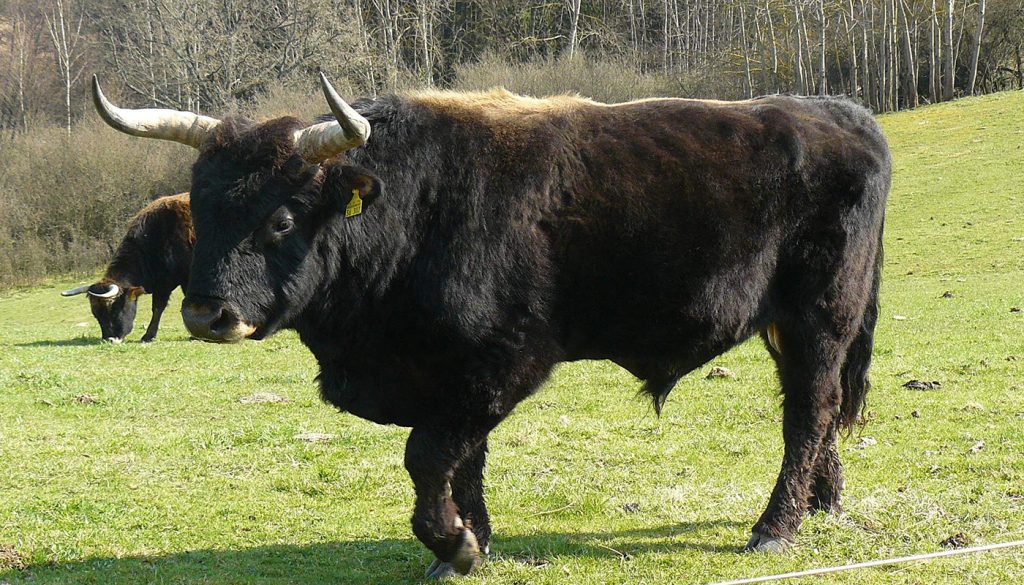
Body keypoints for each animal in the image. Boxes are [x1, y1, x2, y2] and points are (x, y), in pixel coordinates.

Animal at [62, 192, 193, 343]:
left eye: (114, 310)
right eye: (96, 314)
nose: (110, 339)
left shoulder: (176, 281)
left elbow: (159, 307)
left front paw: (149, 335)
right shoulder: (164, 283)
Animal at [92, 73, 890, 578]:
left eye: (281, 218)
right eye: (202, 209)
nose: (206, 312)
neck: (413, 210)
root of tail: (838, 112)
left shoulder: (502, 362)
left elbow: (427, 454)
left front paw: (455, 544)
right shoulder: (449, 375)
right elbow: (461, 459)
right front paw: (468, 541)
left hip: (823, 315)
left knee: (809, 409)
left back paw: (775, 528)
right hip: (789, 327)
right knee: (814, 410)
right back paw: (823, 502)